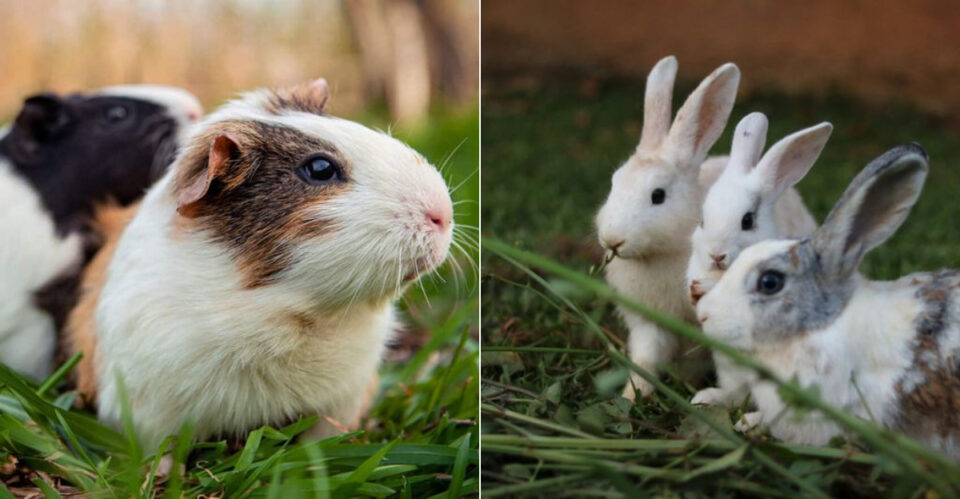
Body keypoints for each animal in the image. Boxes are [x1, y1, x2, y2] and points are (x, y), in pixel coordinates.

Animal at [595, 55, 740, 399]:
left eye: (658, 195)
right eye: (614, 183)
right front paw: (631, 395)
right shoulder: (649, 324)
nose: (612, 240)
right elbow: (646, 359)